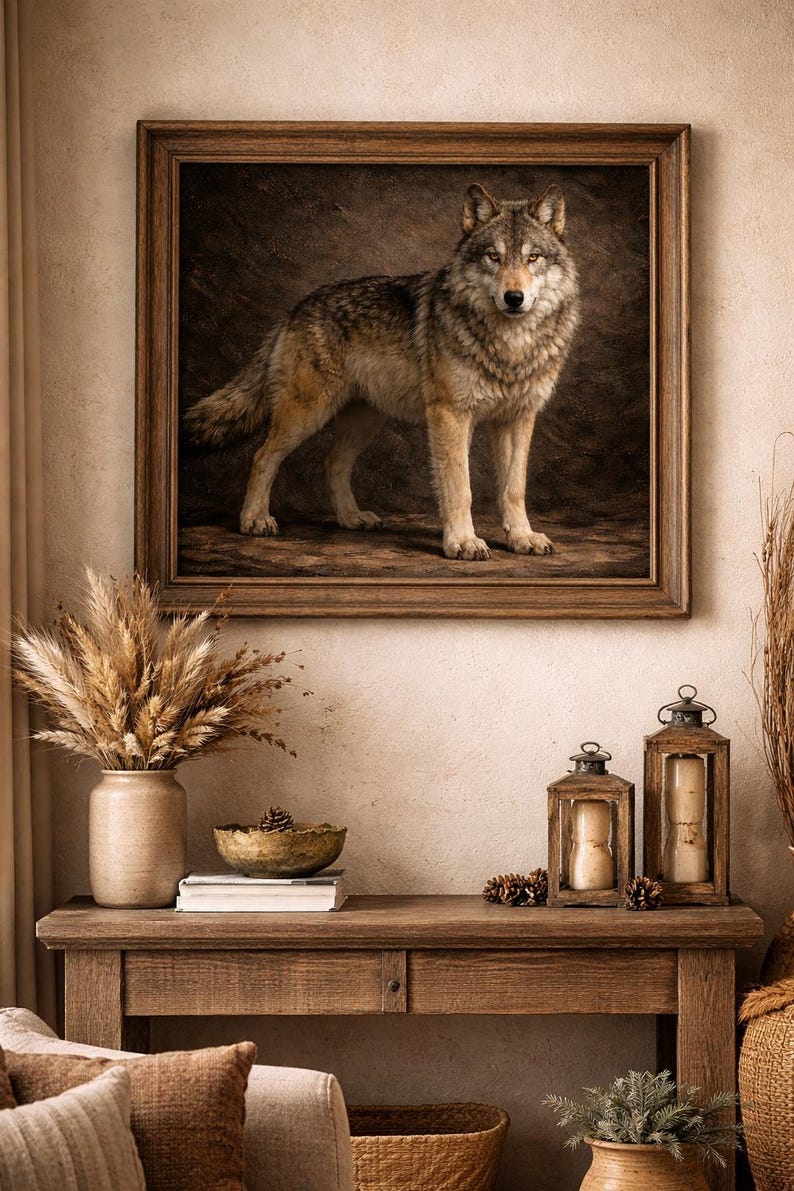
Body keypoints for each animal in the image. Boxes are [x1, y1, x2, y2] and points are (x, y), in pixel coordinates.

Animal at [186, 182, 579, 561]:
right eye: (493, 257)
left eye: (532, 257)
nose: (514, 298)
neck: (510, 346)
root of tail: (294, 309)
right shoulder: (450, 416)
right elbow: (459, 488)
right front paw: (463, 542)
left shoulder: (518, 419)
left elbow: (514, 489)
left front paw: (522, 538)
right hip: (307, 414)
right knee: (262, 457)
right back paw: (254, 520)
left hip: (365, 420)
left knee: (332, 463)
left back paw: (350, 518)